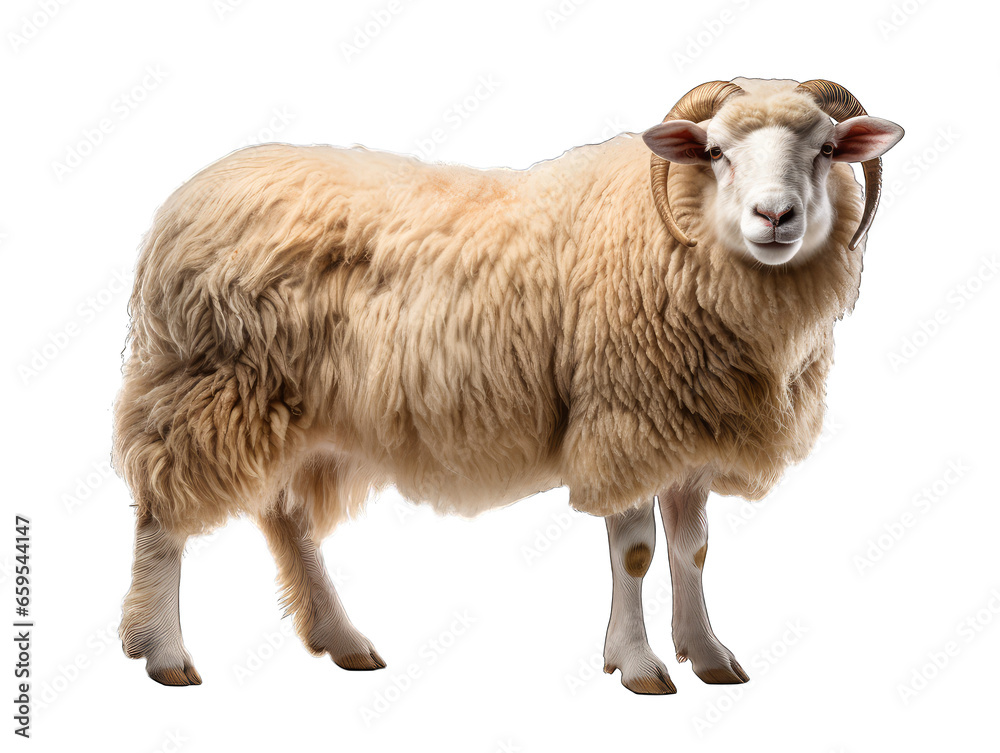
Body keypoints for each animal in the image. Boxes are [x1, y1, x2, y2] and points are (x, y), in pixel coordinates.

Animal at [113, 77, 903, 692]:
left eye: (826, 149)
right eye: (715, 152)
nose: (775, 216)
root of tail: (182, 203)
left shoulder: (687, 433)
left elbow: (693, 549)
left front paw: (707, 654)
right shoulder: (622, 419)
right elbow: (636, 552)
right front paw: (639, 664)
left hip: (299, 407)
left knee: (288, 517)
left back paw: (342, 639)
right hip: (208, 386)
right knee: (161, 514)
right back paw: (165, 653)